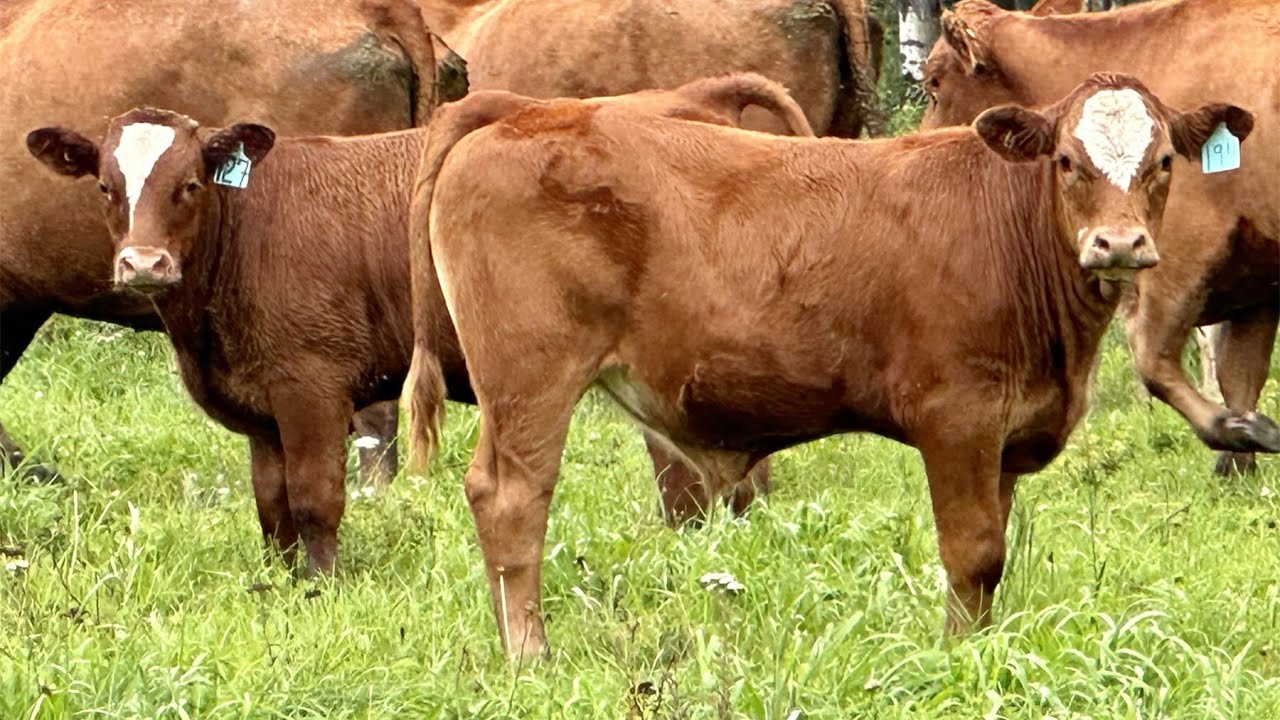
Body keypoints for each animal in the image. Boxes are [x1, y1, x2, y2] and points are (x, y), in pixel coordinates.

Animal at [26, 74, 816, 576]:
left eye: (189, 185)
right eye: (106, 188)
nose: (144, 263)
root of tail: (692, 95)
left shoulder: (312, 389)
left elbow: (315, 499)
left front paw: (323, 590)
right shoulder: (262, 411)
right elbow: (272, 509)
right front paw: (283, 584)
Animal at [405, 73, 1250, 659]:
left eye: (1164, 161)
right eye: (1069, 160)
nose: (1119, 244)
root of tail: (526, 109)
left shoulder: (1006, 438)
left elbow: (993, 558)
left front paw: (980, 647)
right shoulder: (959, 419)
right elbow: (973, 553)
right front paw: (958, 659)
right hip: (530, 380)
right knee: (511, 500)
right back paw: (529, 654)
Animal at [918, 0, 1280, 475]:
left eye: (935, 83)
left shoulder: (1177, 254)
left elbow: (1153, 359)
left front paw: (1243, 433)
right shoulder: (1255, 282)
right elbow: (1239, 379)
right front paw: (1236, 467)